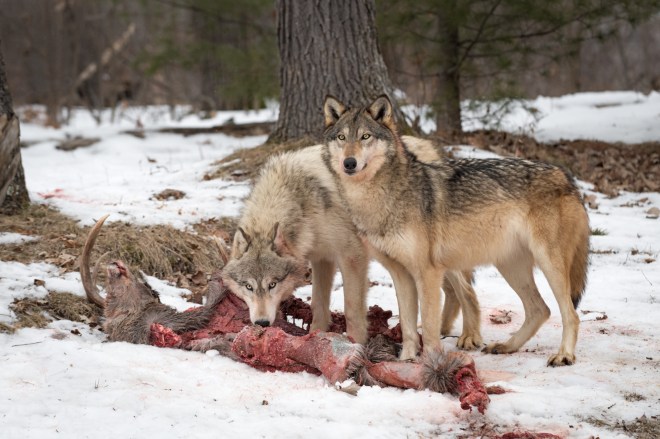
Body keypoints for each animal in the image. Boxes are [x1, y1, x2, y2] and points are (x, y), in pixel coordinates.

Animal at [221, 143, 482, 348]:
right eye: (248, 286)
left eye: (272, 284)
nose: (262, 323)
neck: (298, 196)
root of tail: (429, 147)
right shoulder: (321, 259)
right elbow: (318, 304)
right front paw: (315, 336)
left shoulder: (352, 256)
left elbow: (352, 309)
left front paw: (355, 343)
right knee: (451, 291)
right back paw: (442, 329)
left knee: (466, 289)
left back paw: (468, 336)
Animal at [322, 95, 590, 366]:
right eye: (342, 137)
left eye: (365, 136)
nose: (349, 163)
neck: (382, 197)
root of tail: (566, 177)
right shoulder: (401, 274)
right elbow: (408, 325)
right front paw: (406, 361)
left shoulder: (427, 273)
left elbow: (429, 326)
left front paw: (431, 364)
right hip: (509, 266)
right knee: (540, 310)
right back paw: (506, 346)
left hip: (548, 264)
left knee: (570, 314)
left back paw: (564, 355)